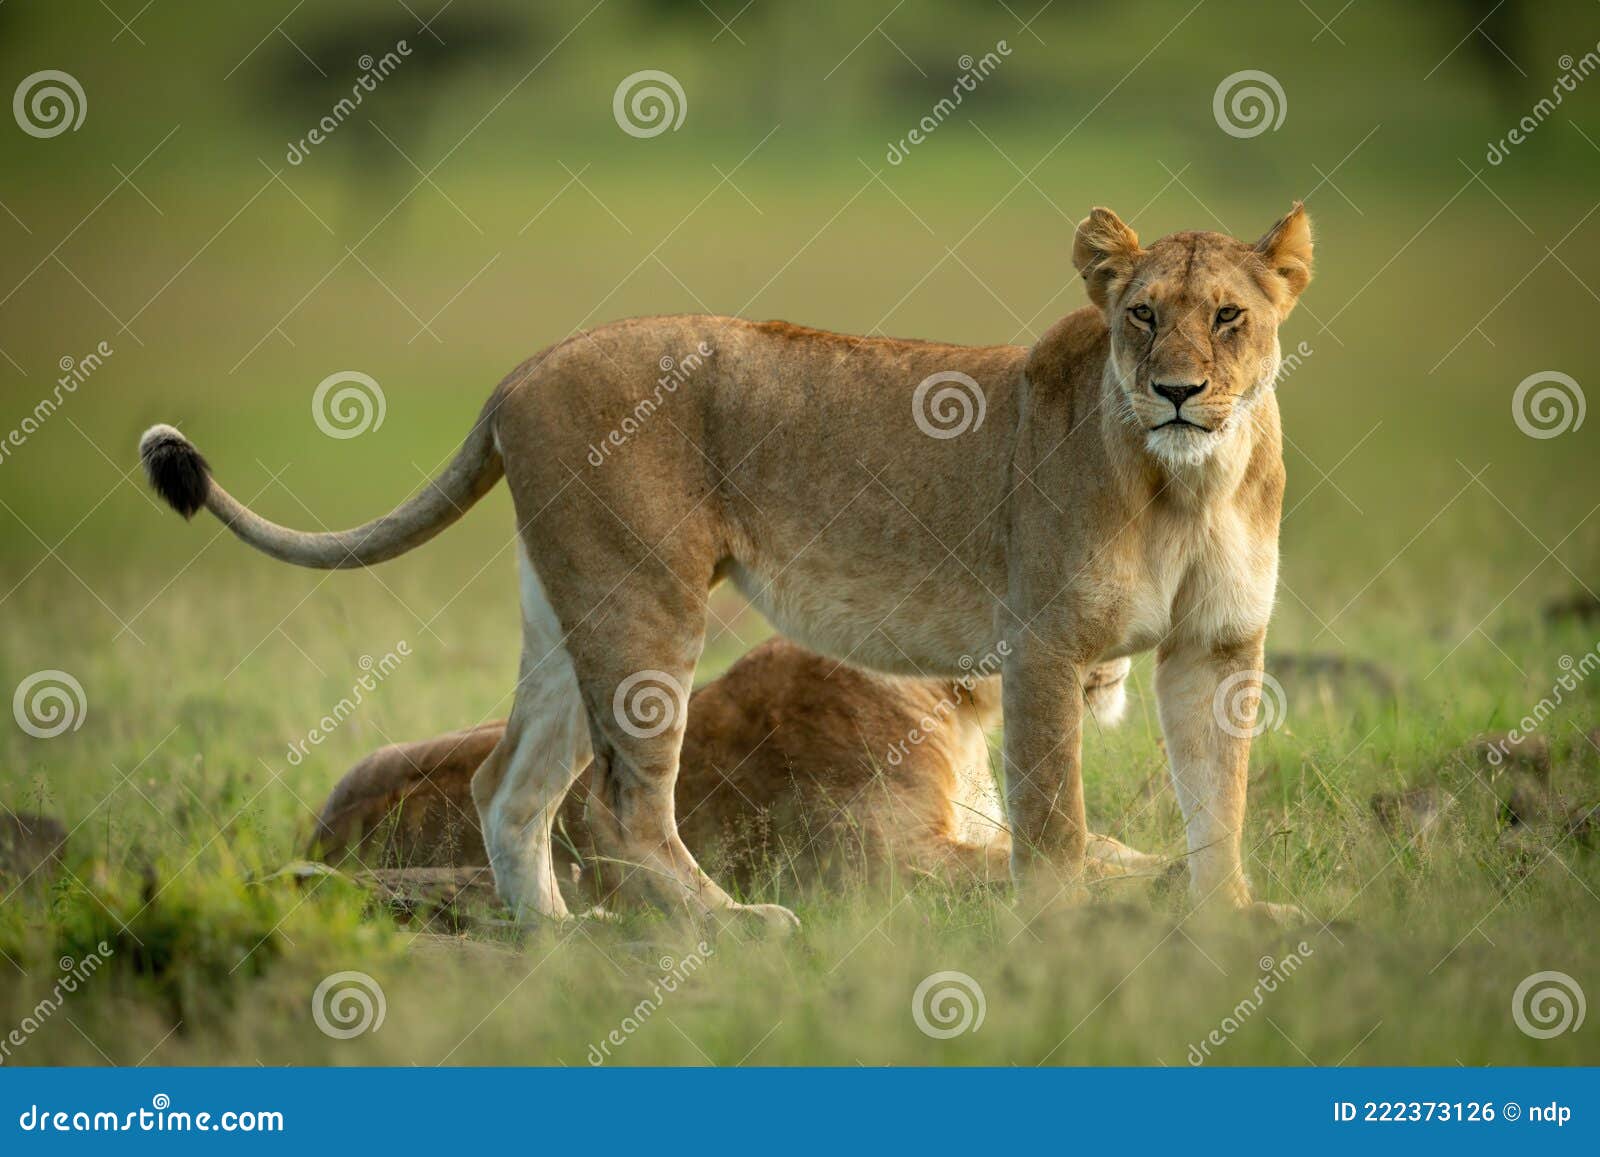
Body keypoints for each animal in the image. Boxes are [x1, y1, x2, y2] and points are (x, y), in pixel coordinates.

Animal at [308, 637, 1158, 905]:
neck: (963, 708)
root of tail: (317, 835)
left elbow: (1098, 847)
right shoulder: (890, 867)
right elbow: (1074, 862)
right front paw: (1168, 873)